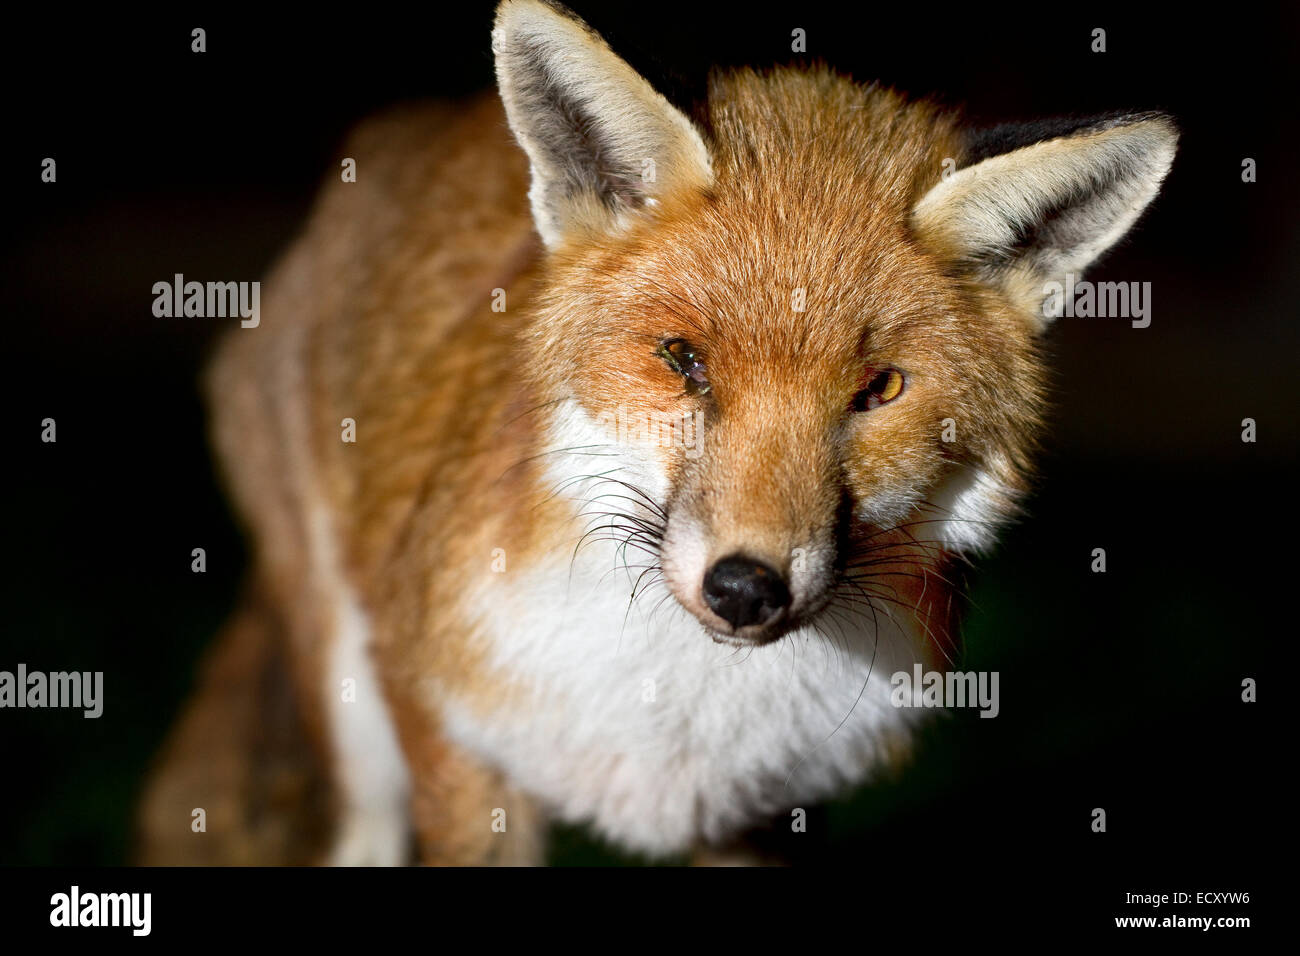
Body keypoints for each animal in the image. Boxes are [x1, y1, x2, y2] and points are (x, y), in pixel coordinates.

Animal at [137, 0, 1177, 865]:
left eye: (877, 390)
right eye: (683, 360)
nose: (747, 590)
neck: (673, 708)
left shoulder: (764, 818)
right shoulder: (460, 751)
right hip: (354, 703)